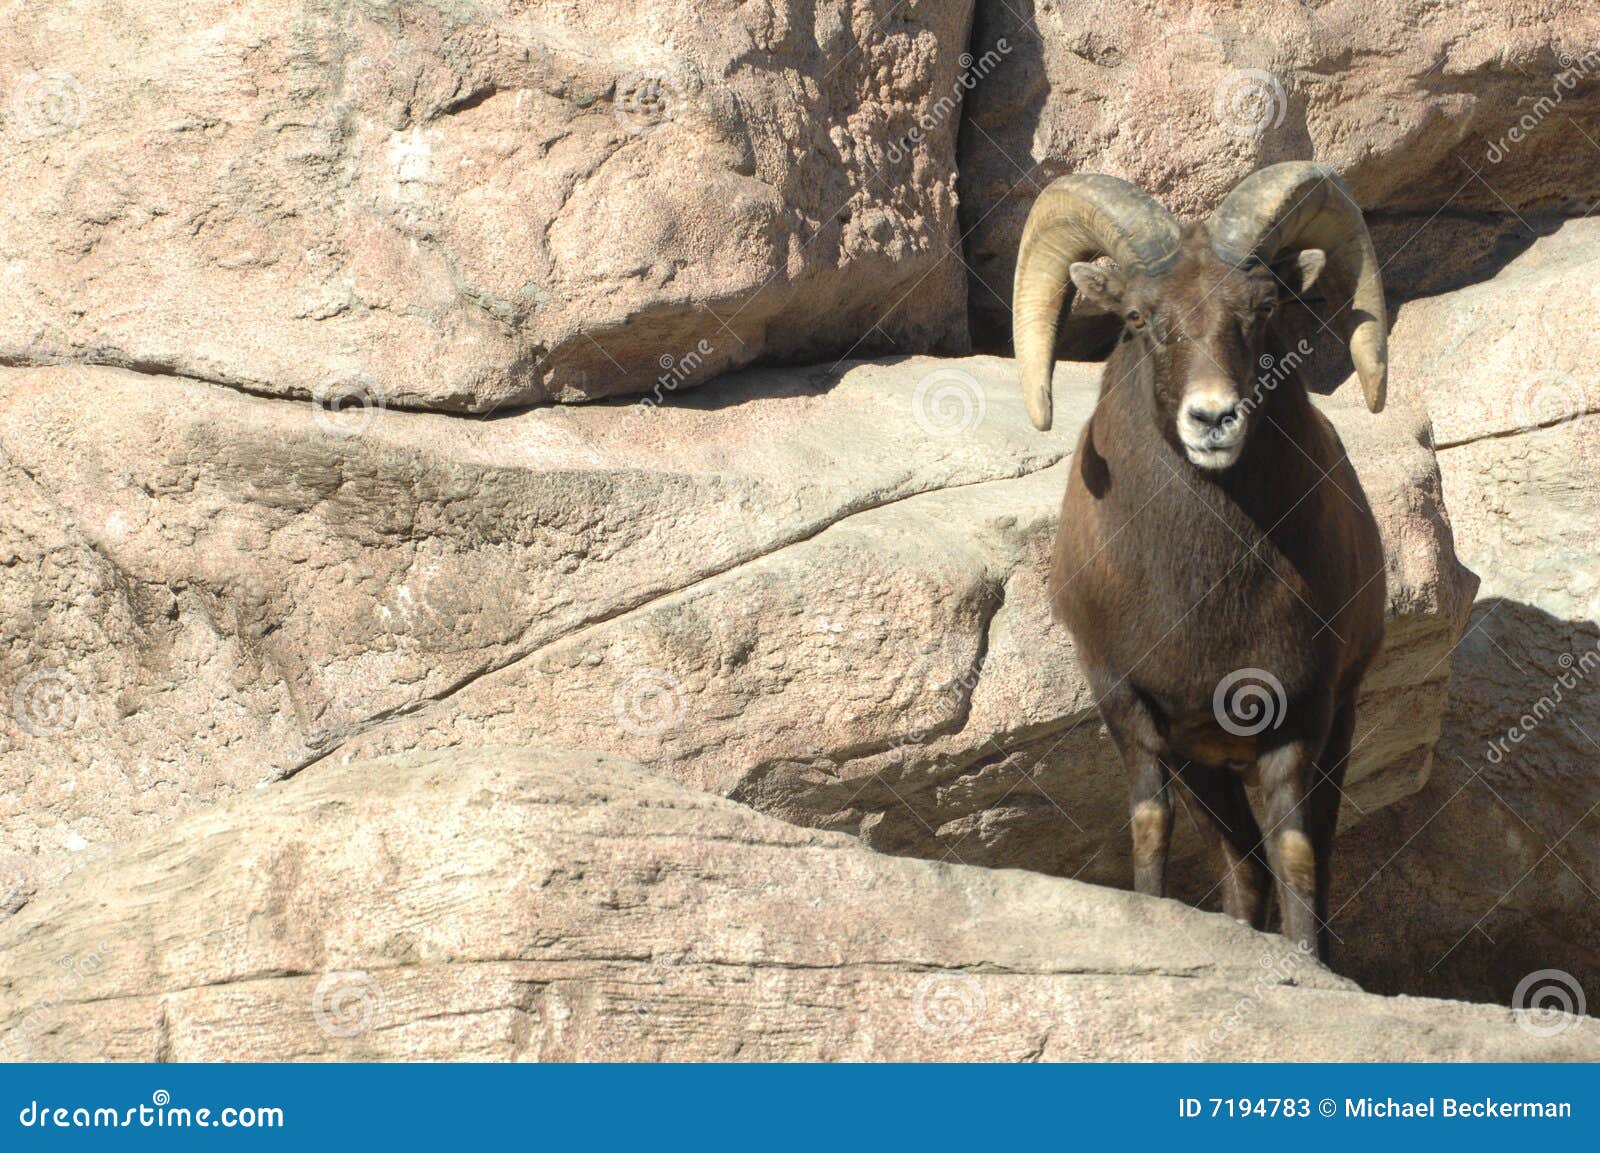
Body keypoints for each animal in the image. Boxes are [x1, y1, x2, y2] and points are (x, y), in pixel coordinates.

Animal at [1011, 162, 1388, 960]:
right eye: (1137, 317)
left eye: (1263, 308)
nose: (1214, 418)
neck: (1203, 594)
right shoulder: (1128, 703)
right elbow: (1151, 829)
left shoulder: (1301, 709)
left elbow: (1297, 853)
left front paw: (1307, 964)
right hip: (1204, 764)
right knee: (1240, 865)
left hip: (1329, 731)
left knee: (1295, 853)